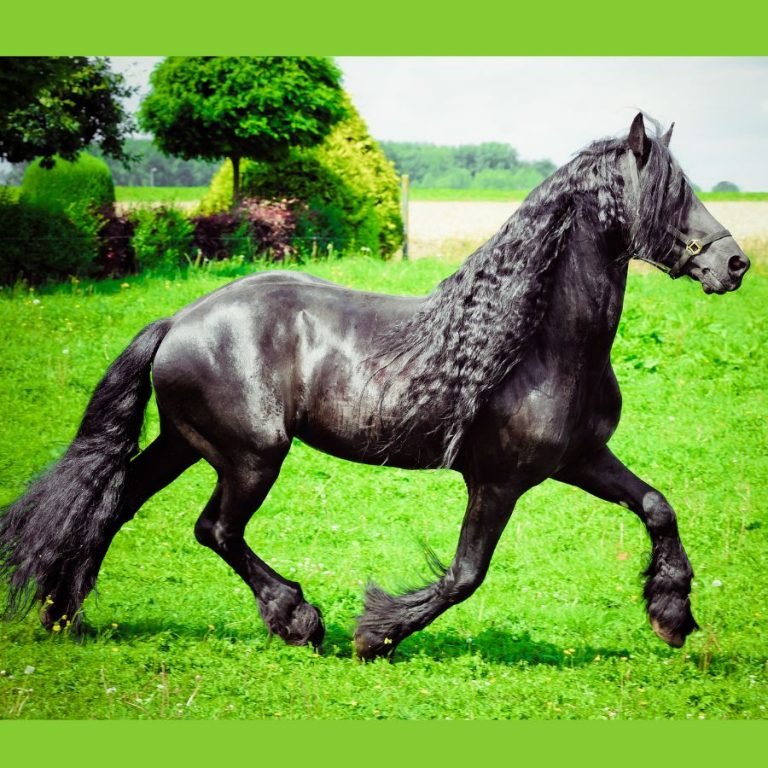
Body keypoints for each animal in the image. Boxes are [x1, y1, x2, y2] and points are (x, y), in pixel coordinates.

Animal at [0, 114, 750, 660]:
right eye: (671, 193)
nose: (735, 263)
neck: (537, 346)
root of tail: (178, 320)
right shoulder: (498, 481)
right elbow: (464, 576)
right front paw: (375, 634)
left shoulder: (580, 459)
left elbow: (656, 506)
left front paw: (671, 615)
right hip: (251, 455)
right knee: (215, 528)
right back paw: (299, 620)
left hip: (185, 443)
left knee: (113, 504)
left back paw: (63, 615)